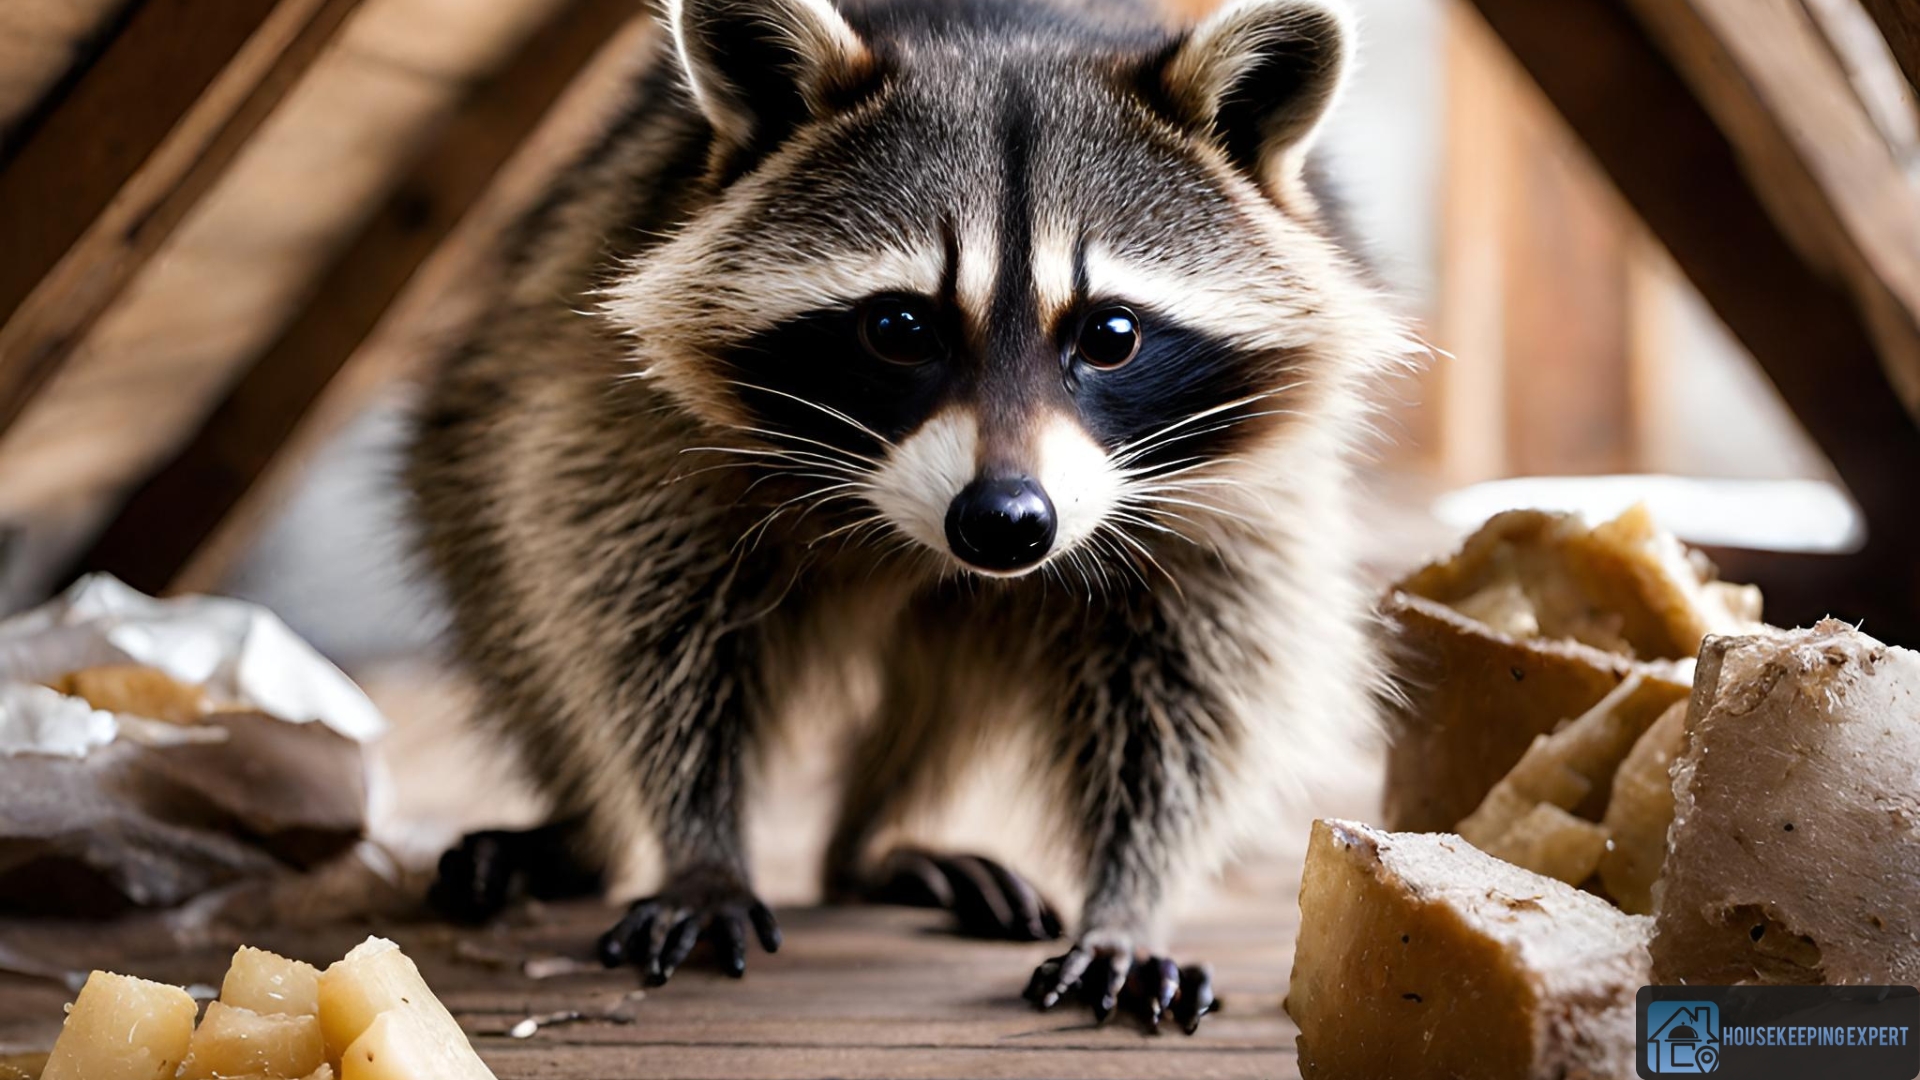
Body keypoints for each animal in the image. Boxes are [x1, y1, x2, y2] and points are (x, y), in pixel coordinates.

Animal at [407, 0, 1412, 1033]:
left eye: (1112, 334)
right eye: (899, 328)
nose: (1004, 521)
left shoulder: (1235, 487)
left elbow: (1202, 672)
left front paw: (1131, 899)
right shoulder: (640, 412)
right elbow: (628, 597)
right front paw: (699, 842)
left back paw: (884, 841)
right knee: (504, 562)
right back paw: (587, 827)